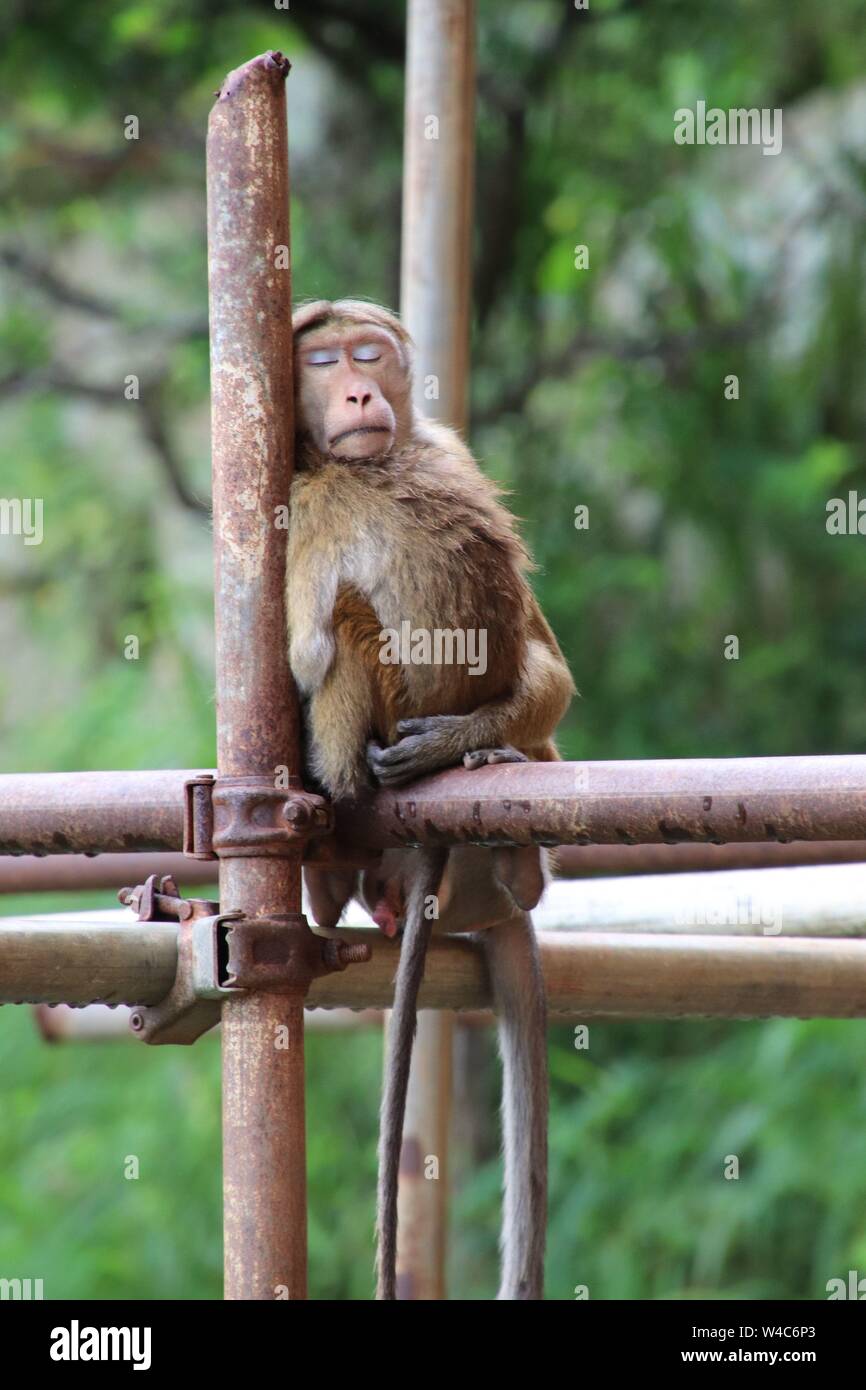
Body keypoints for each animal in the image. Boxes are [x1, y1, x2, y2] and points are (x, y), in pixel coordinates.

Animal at [285, 298, 575, 1300]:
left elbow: (303, 651)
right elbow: (550, 670)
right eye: (325, 362)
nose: (359, 392)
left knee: (342, 636)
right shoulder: (442, 441)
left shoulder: (309, 506)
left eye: (366, 356)